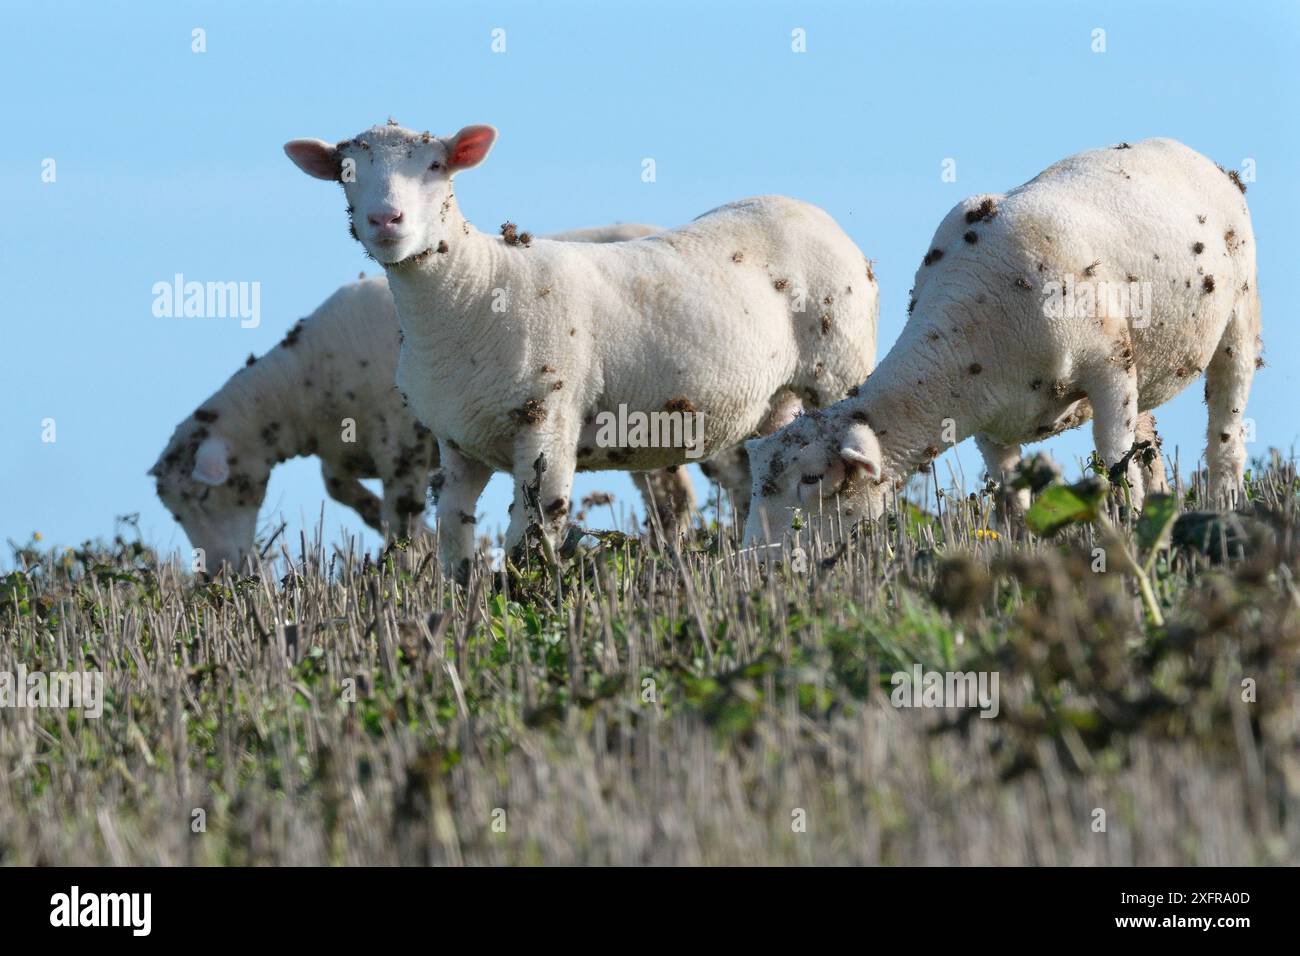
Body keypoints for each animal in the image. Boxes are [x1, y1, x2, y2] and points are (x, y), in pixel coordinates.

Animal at [151, 224, 703, 571]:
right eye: (175, 511)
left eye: (204, 496)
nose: (216, 573)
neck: (302, 389)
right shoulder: (345, 450)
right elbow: (337, 487)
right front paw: (371, 515)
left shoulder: (398, 445)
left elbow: (401, 513)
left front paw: (405, 555)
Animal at [284, 122, 879, 576]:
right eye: (346, 173)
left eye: (435, 166)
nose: (386, 220)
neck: (471, 288)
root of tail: (812, 212)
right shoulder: (456, 443)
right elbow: (455, 538)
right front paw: (461, 607)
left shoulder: (547, 419)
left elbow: (530, 534)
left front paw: (527, 598)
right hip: (776, 402)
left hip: (839, 373)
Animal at [743, 138, 1258, 546]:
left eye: (813, 479)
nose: (757, 562)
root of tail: (1180, 148)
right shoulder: (989, 422)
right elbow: (1012, 503)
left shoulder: (1110, 368)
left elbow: (1115, 461)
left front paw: (1127, 528)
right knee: (1149, 443)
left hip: (1239, 314)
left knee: (1226, 426)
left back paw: (1225, 503)